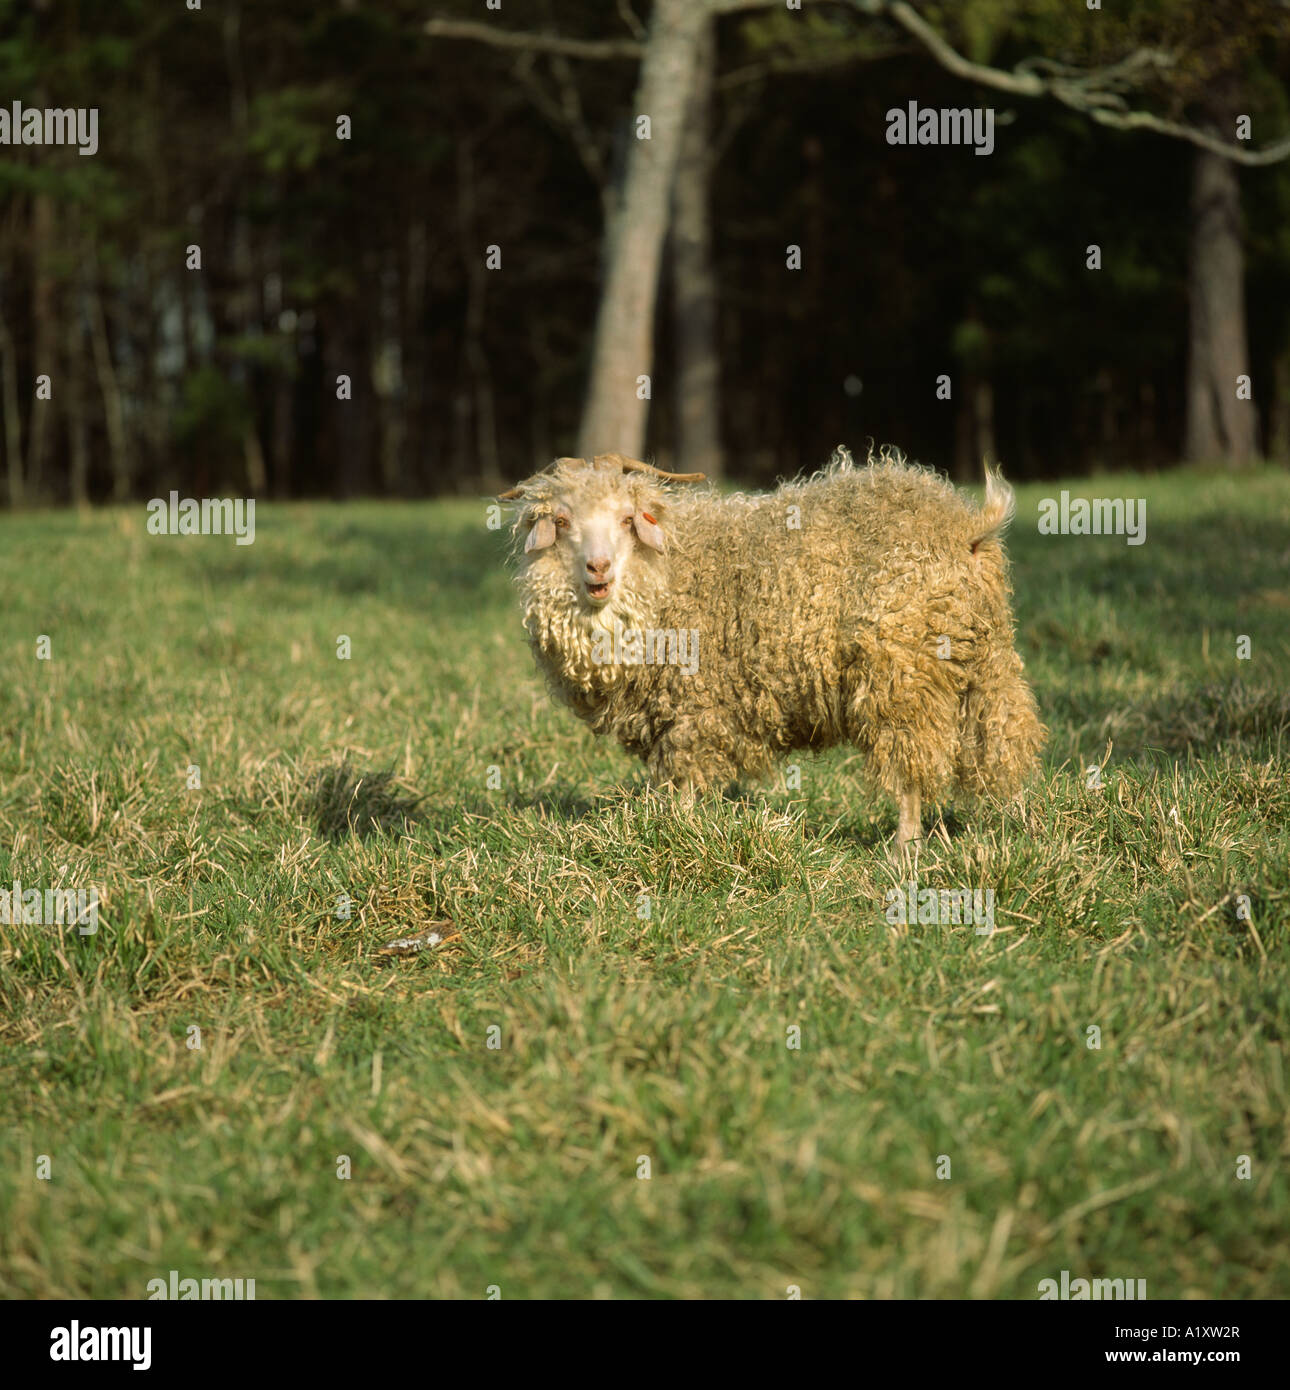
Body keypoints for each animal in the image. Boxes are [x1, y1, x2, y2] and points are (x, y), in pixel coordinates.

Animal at [500, 446, 1045, 852]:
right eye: (562, 521)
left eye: (628, 519)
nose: (598, 568)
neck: (668, 575)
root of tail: (965, 528)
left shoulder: (695, 708)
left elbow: (685, 779)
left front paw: (677, 834)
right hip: (986, 661)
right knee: (1003, 742)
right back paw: (1013, 825)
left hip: (902, 669)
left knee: (912, 759)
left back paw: (902, 849)